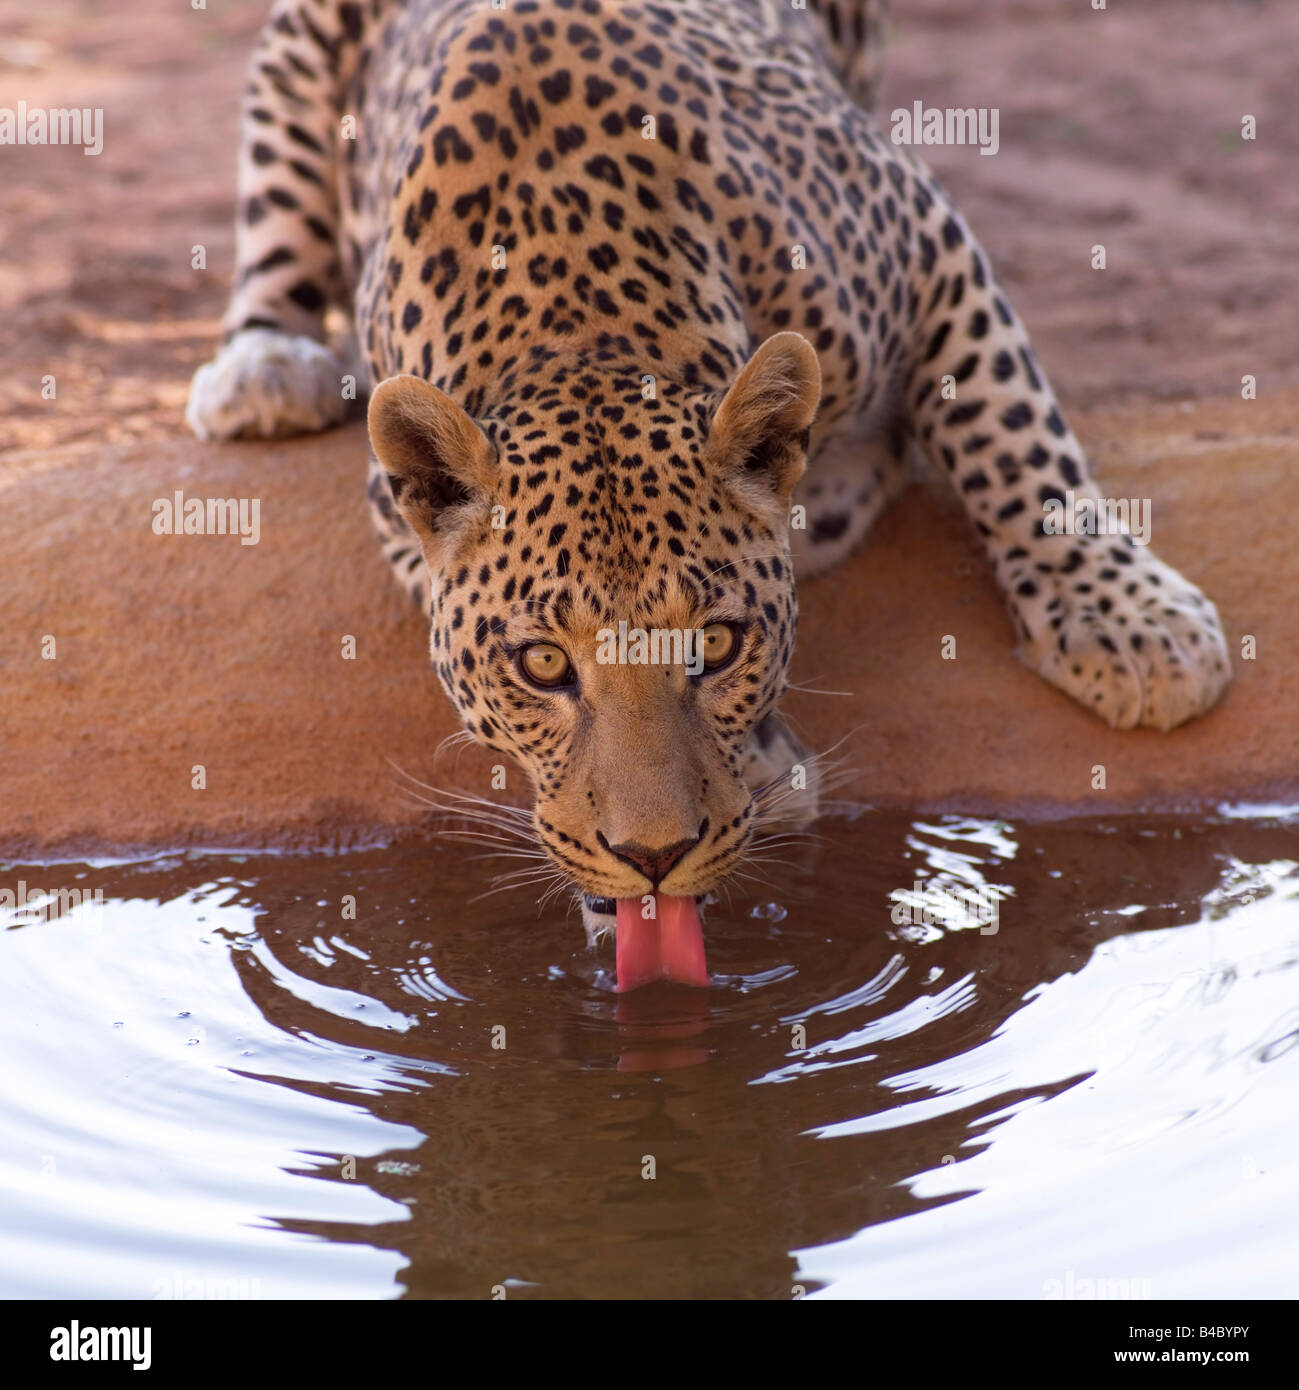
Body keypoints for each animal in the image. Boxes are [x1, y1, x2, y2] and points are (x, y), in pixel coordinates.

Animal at [186, 0, 1231, 979]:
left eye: (717, 645)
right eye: (541, 666)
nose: (652, 857)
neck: (578, 320)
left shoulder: (924, 238)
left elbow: (1006, 417)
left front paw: (1129, 622)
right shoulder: (394, 512)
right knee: (272, 218)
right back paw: (264, 367)